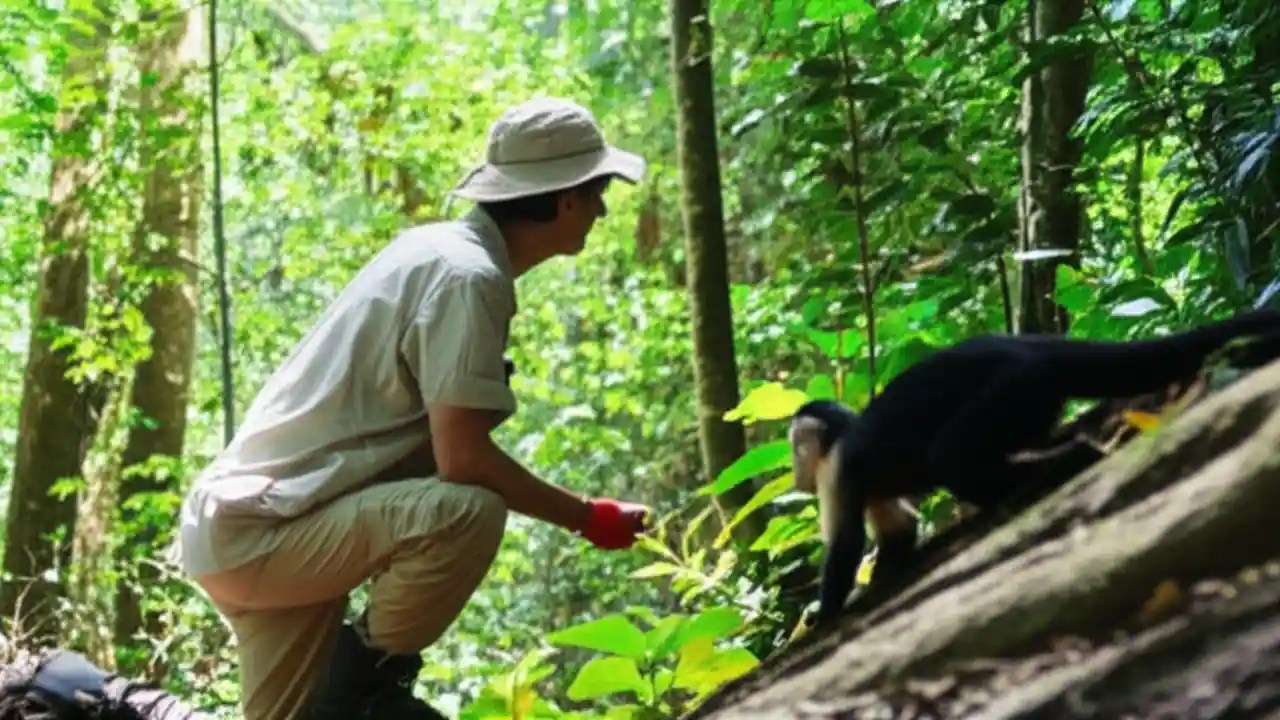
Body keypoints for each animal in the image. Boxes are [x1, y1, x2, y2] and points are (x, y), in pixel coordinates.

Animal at [789, 309, 1280, 626]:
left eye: (795, 449)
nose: (796, 474)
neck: (837, 437)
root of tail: (1026, 341)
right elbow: (898, 530)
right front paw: (884, 572)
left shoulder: (834, 469)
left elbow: (847, 544)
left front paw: (824, 615)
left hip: (1015, 381)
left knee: (950, 458)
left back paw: (1060, 464)